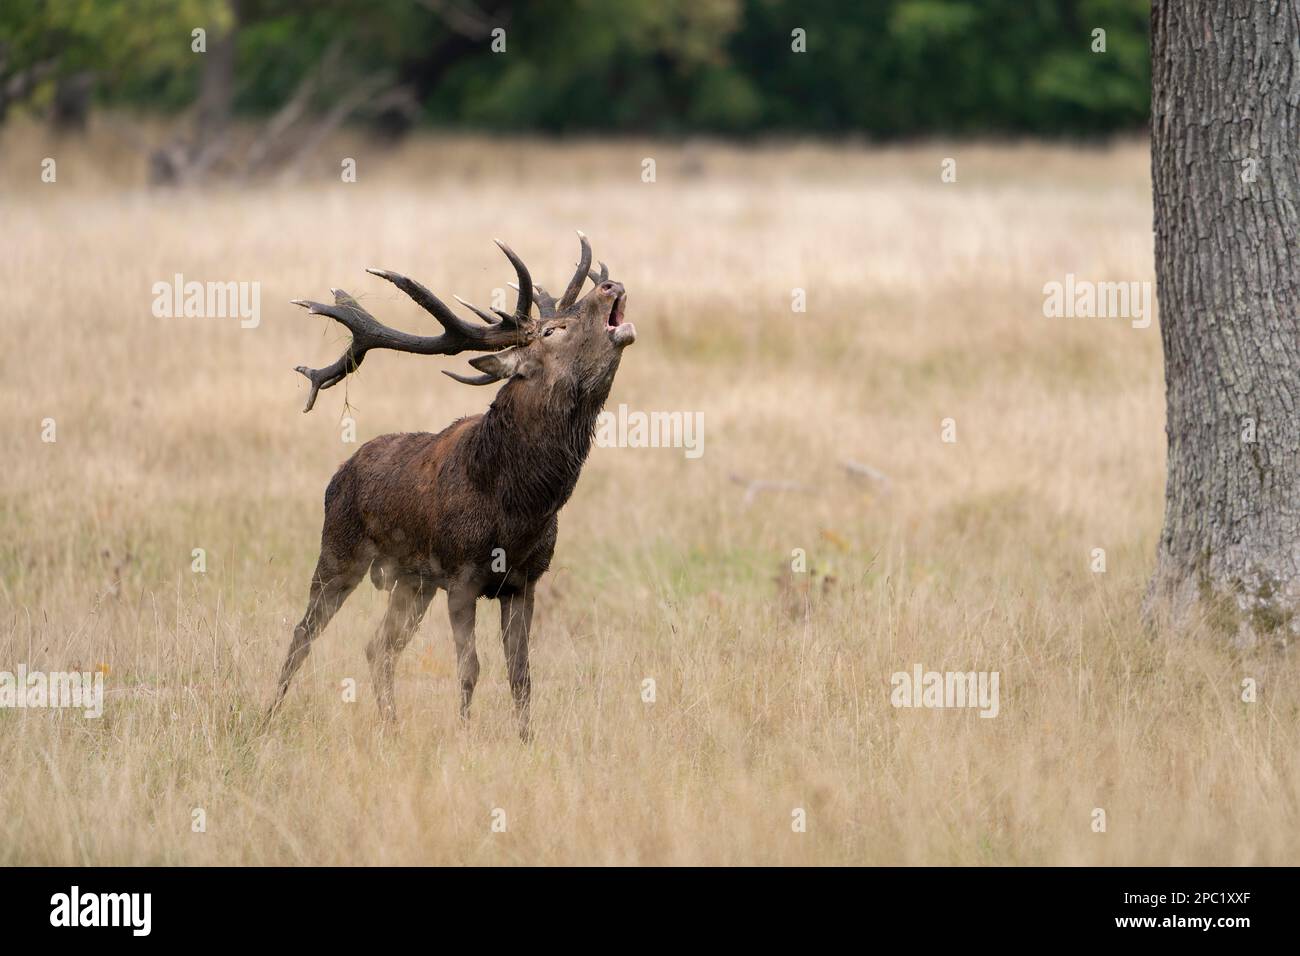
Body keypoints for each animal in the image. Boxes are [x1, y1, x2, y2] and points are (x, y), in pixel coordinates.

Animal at [267, 233, 635, 739]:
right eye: (552, 331)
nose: (611, 285)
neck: (520, 505)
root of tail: (339, 472)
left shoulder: (525, 580)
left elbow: (521, 674)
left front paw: (526, 740)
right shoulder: (461, 576)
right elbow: (470, 668)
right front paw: (464, 735)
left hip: (410, 581)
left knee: (378, 647)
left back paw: (391, 727)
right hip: (339, 550)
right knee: (305, 632)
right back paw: (268, 715)